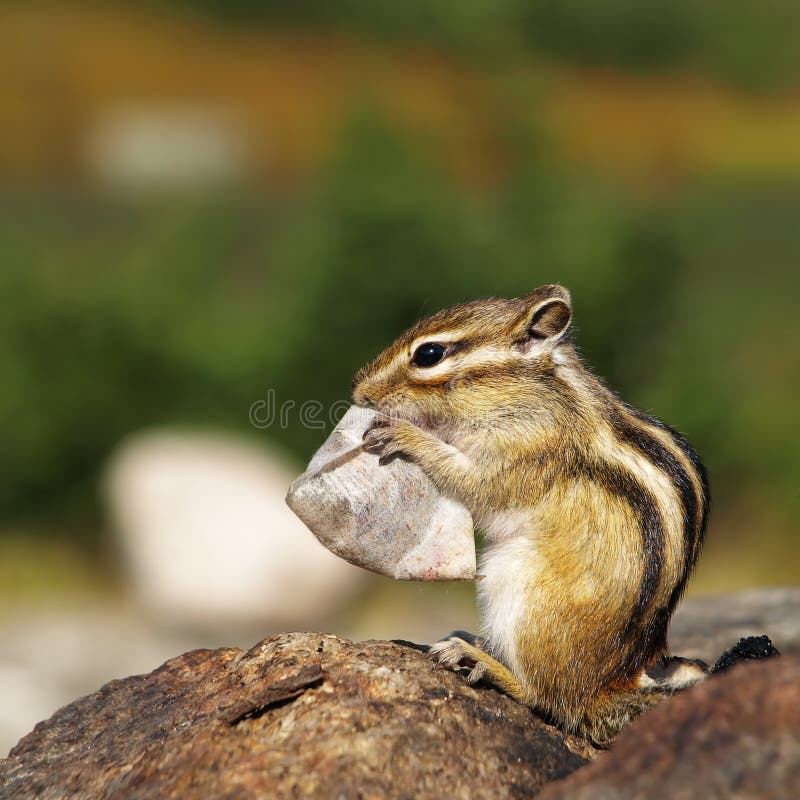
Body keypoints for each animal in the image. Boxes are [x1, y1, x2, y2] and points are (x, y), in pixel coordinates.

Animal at [352, 284, 710, 745]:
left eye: (429, 354)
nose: (359, 391)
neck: (535, 393)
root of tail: (607, 690)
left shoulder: (525, 449)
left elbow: (472, 482)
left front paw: (405, 434)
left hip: (518, 590)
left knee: (547, 698)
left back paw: (478, 660)